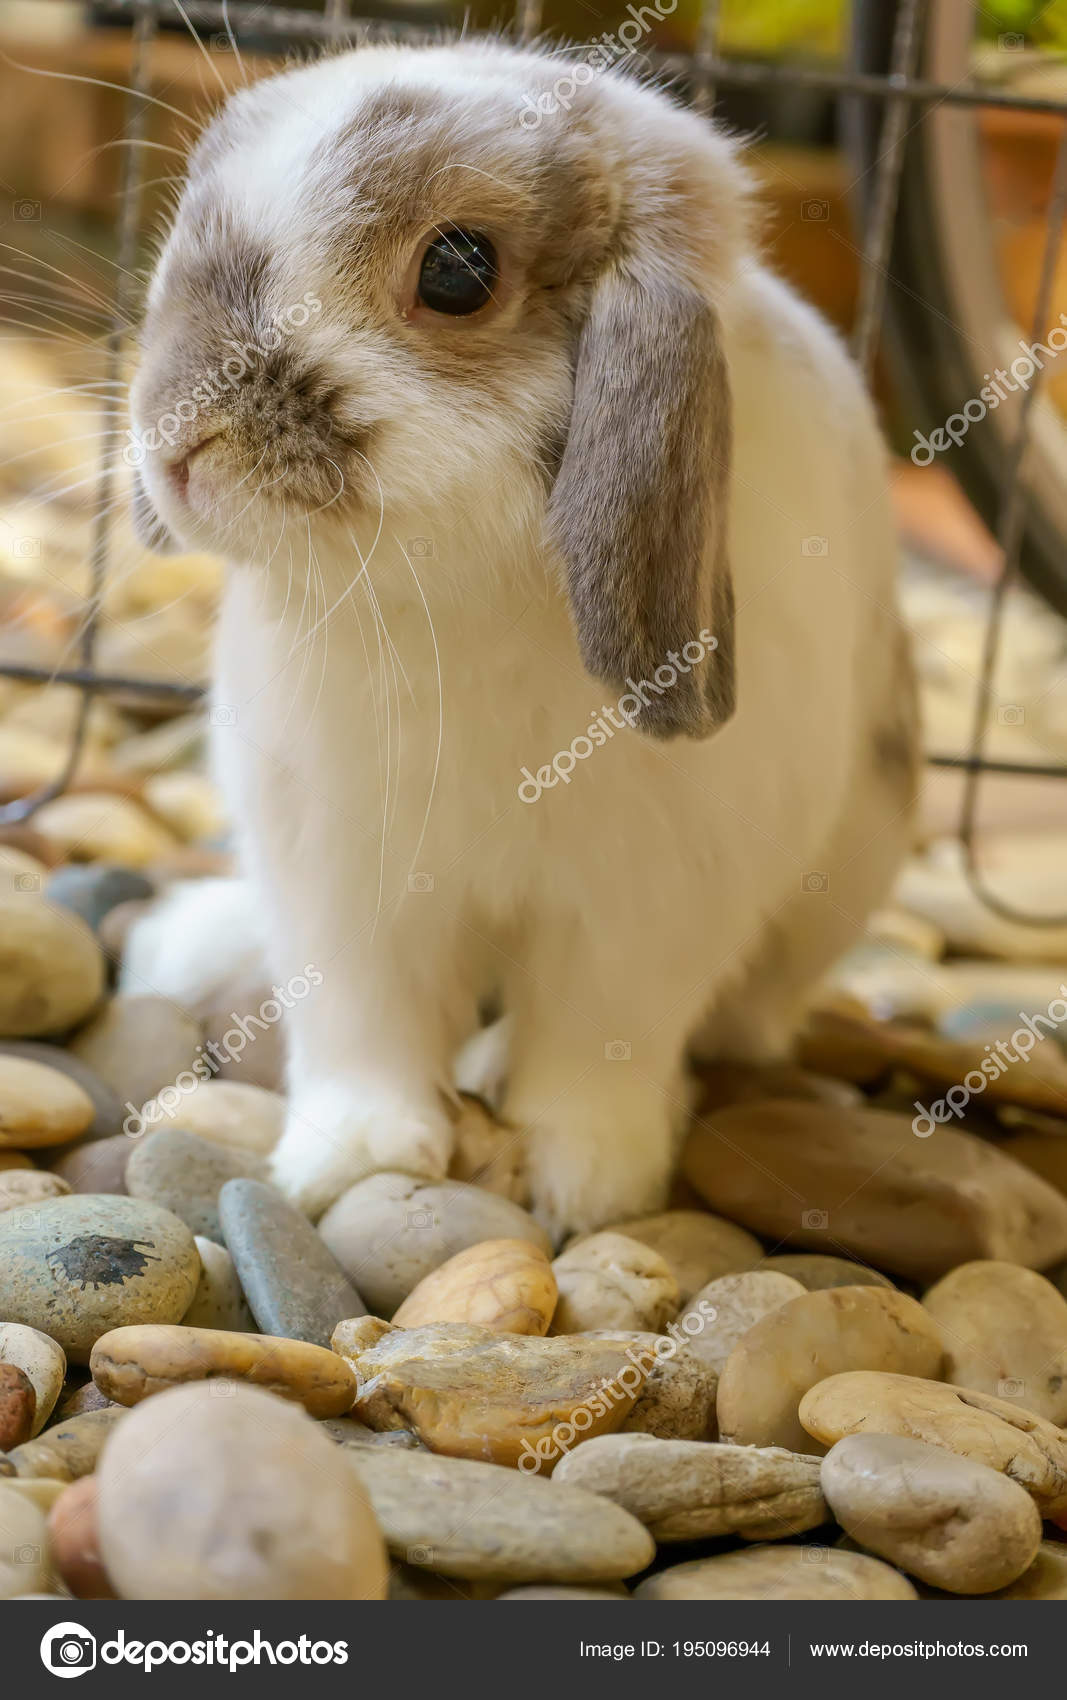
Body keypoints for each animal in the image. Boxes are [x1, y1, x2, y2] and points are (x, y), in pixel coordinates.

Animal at [127, 39, 917, 1239]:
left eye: (457, 270)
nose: (176, 439)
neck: (464, 596)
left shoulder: (649, 913)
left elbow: (597, 1052)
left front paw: (585, 1183)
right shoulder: (340, 884)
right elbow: (363, 1026)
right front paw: (350, 1162)